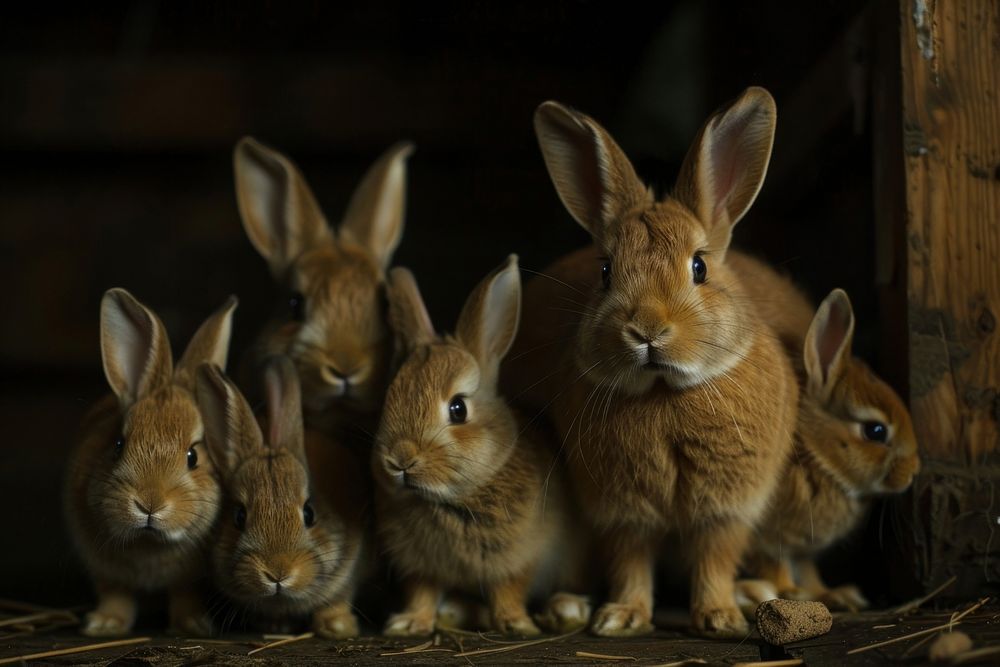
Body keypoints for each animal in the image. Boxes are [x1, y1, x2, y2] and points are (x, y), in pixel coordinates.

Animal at [65, 288, 237, 637]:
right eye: (118, 446)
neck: (148, 544)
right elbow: (115, 593)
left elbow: (185, 594)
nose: (149, 504)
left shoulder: (189, 580)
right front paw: (103, 624)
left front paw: (193, 625)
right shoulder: (104, 570)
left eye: (193, 457)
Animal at [195, 357, 370, 639]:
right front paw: (274, 626)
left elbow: (341, 596)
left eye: (309, 513)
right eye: (239, 516)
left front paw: (336, 627)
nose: (277, 573)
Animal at [373, 255, 592, 637]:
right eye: (388, 400)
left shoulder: (521, 555)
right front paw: (409, 624)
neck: (448, 500)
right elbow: (422, 593)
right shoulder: (420, 567)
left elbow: (509, 588)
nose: (400, 460)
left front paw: (516, 624)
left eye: (458, 409)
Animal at [510, 87, 800, 638]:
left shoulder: (726, 507)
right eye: (605, 272)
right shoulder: (621, 511)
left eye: (700, 267)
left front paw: (720, 618)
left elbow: (713, 557)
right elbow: (631, 560)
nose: (647, 330)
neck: (663, 392)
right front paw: (621, 618)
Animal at [734, 287, 920, 613]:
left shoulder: (801, 548)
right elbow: (774, 565)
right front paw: (792, 592)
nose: (914, 472)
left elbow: (807, 569)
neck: (816, 456)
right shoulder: (765, 538)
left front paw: (829, 594)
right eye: (876, 431)